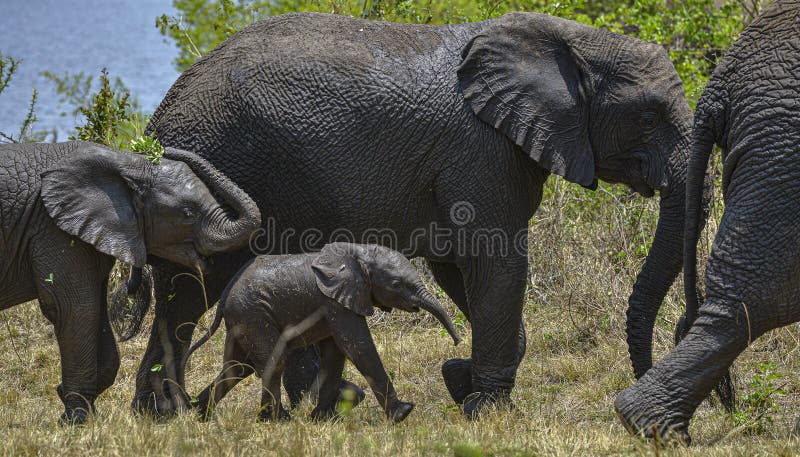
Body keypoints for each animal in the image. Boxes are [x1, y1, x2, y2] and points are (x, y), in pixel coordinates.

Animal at [0, 141, 260, 424]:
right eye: (187, 214)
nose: (163, 148)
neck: (125, 163)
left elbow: (96, 309)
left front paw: (74, 400)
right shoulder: (51, 227)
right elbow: (74, 308)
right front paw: (76, 421)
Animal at [185, 242, 461, 423]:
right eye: (396, 284)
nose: (458, 341)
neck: (357, 253)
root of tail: (226, 294)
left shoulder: (333, 304)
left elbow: (335, 354)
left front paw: (322, 419)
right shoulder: (335, 302)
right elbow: (357, 346)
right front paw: (403, 413)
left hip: (243, 319)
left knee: (238, 368)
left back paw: (200, 414)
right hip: (253, 314)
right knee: (274, 361)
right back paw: (277, 420)